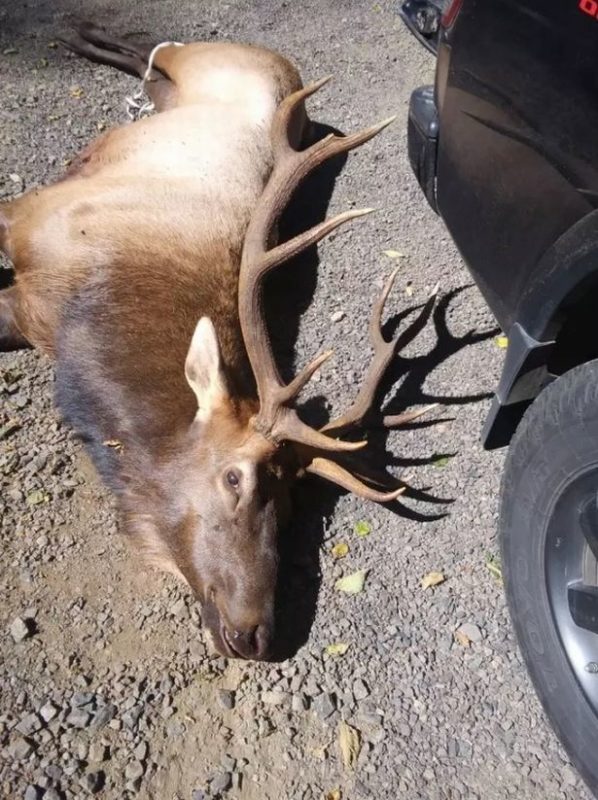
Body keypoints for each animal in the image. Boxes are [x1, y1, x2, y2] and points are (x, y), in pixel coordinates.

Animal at [0, 24, 433, 660]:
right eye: (235, 478)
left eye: (290, 507)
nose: (258, 635)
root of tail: (282, 66)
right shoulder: (24, 216)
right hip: (199, 57)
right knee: (155, 47)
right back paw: (77, 33)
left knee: (146, 62)